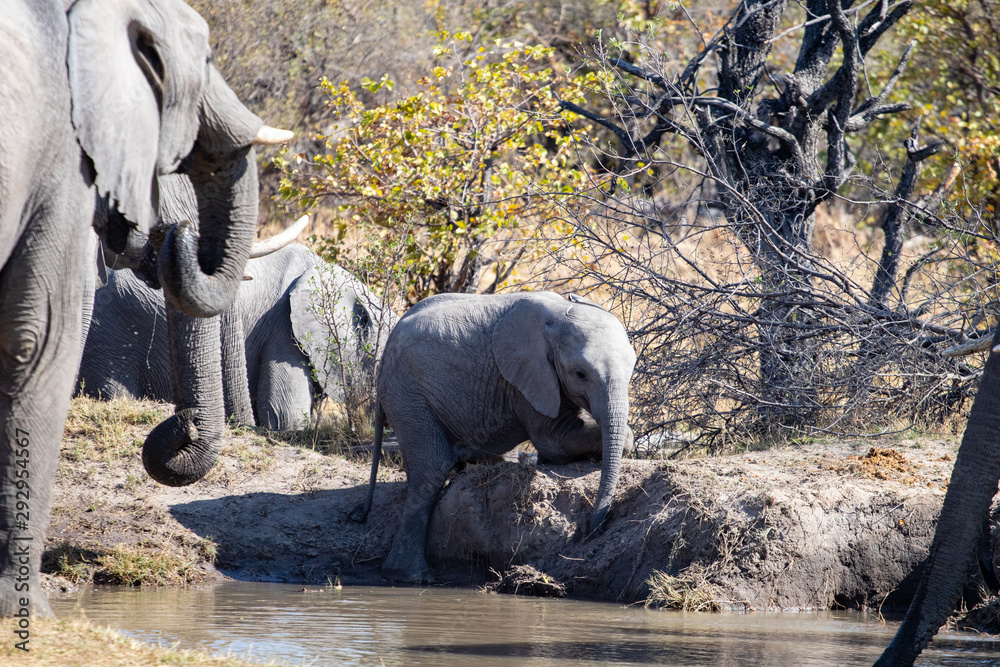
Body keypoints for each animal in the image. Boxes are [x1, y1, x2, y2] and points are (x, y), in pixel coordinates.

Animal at [357, 291, 637, 583]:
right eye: (580, 374)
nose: (593, 531)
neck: (558, 314)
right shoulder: (526, 379)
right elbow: (554, 441)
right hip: (407, 394)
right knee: (430, 469)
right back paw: (412, 577)